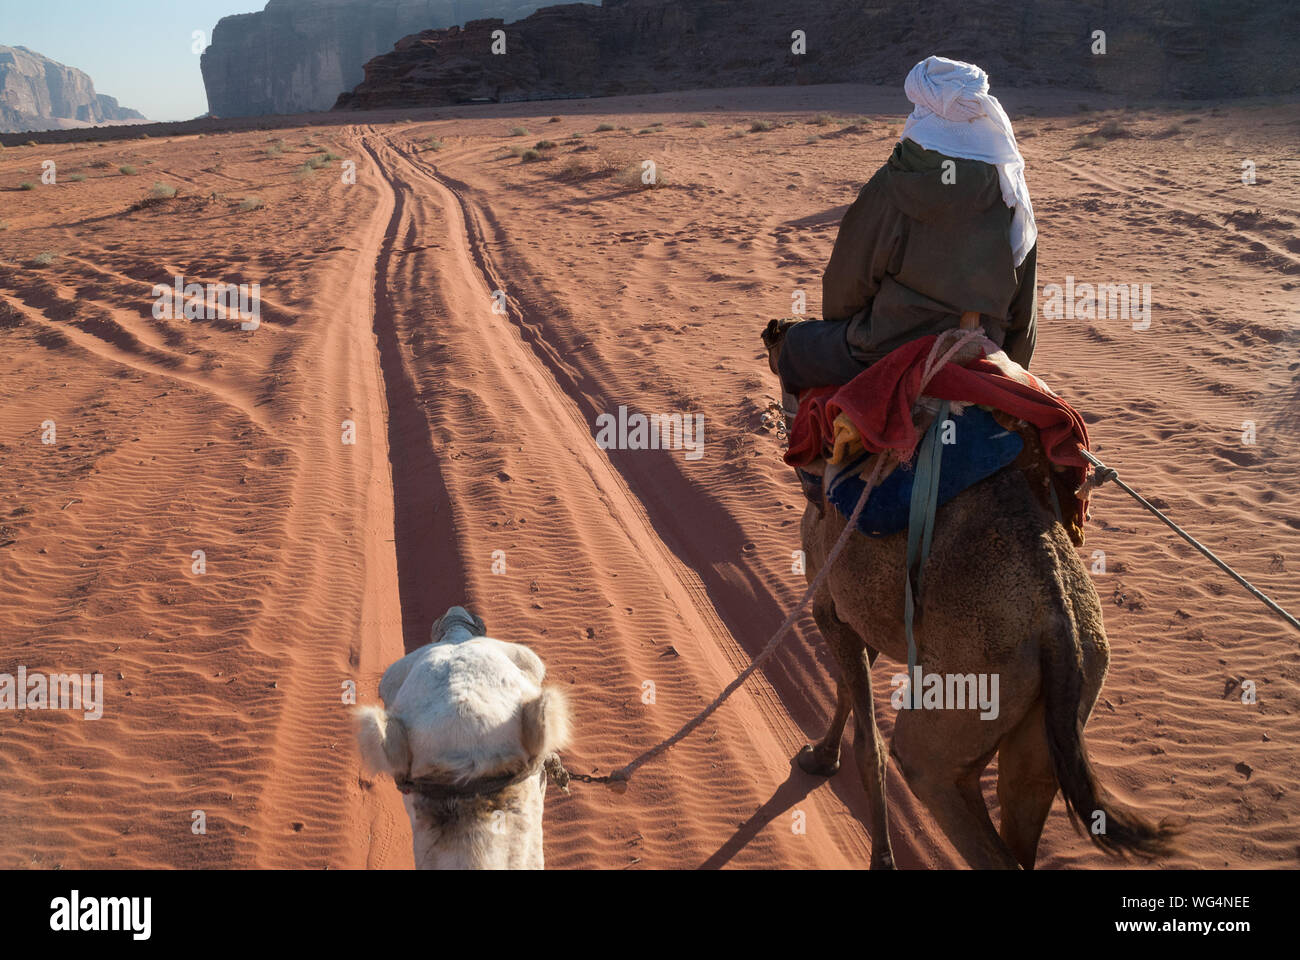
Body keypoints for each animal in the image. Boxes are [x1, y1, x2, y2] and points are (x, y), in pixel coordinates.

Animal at [763, 321, 1177, 869]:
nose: (772, 330)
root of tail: (1059, 627)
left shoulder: (830, 605)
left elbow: (868, 741)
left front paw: (873, 844)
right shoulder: (861, 615)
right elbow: (850, 695)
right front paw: (820, 757)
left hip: (955, 712)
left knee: (922, 767)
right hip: (1054, 720)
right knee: (1021, 820)